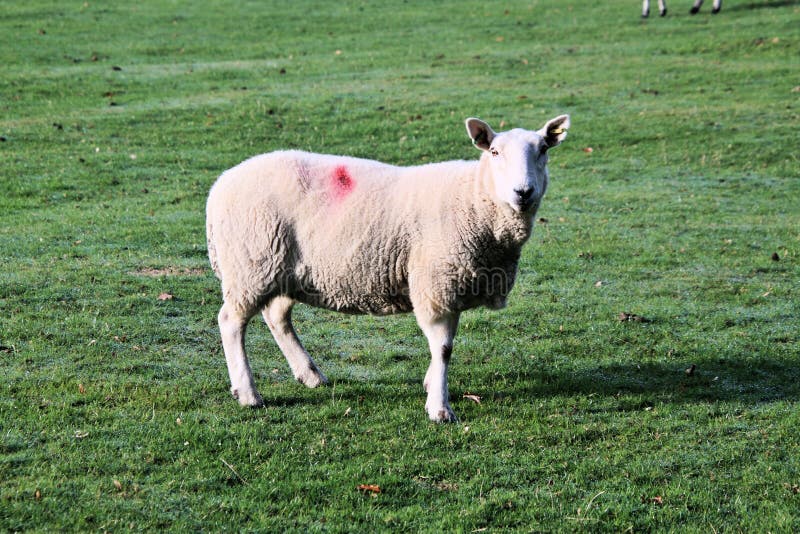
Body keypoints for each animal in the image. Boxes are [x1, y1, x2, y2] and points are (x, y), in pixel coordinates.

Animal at [206, 115, 570, 422]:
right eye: (494, 151)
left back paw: (310, 375)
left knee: (277, 316)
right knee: (231, 321)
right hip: (251, 264)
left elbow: (445, 345)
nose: (523, 192)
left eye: (543, 150)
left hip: (285, 269)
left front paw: (430, 385)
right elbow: (443, 348)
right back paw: (248, 393)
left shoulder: (450, 284)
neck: (475, 198)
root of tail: (221, 183)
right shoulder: (436, 282)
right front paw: (439, 408)